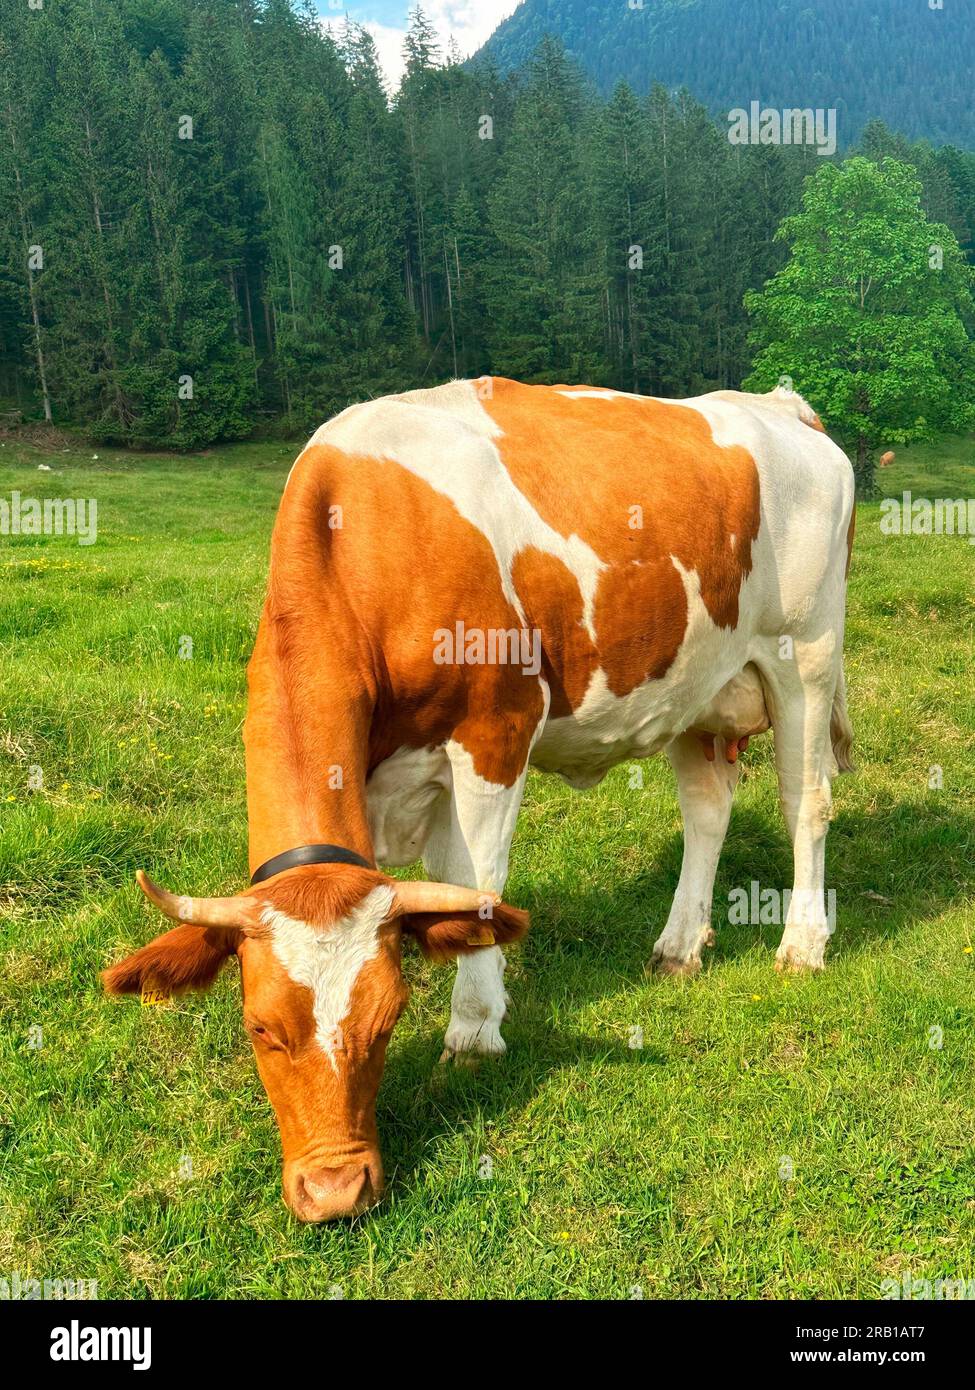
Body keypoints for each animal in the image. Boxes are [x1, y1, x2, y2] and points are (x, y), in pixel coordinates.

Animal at [103, 378, 855, 1222]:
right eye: (260, 1027)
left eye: (388, 1019)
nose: (334, 1191)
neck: (371, 535)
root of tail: (776, 402)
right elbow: (445, 886)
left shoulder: (496, 731)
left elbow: (480, 884)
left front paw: (472, 1031)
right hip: (697, 682)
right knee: (706, 808)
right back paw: (678, 945)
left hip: (806, 655)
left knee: (806, 802)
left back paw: (801, 944)